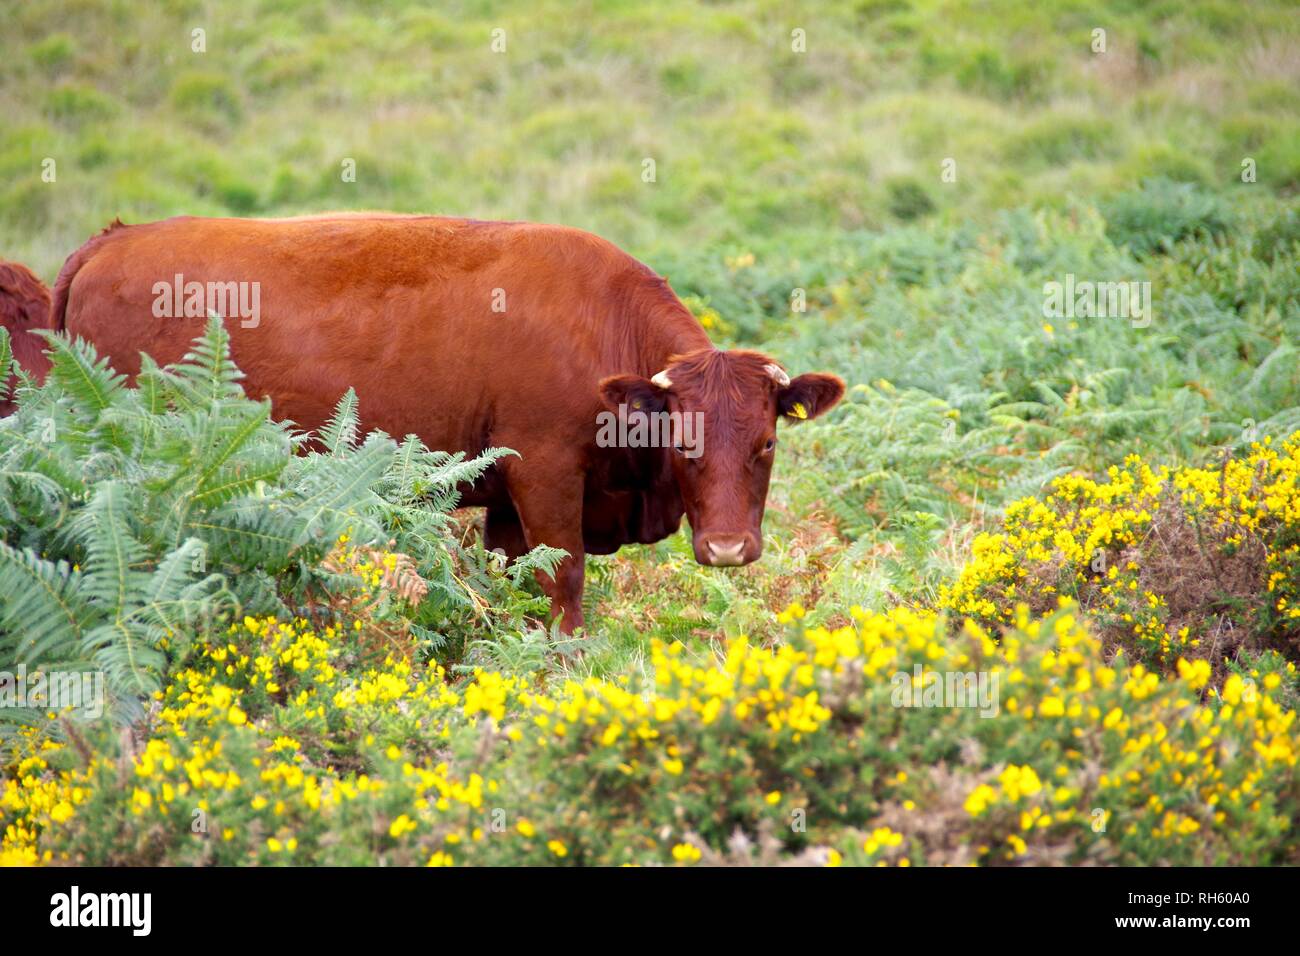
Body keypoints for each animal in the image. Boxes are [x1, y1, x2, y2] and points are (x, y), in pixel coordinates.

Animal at [52, 215, 845, 632]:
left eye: (766, 442)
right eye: (683, 443)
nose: (728, 549)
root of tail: (114, 239)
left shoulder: (505, 506)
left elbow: (512, 583)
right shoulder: (544, 475)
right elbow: (563, 582)